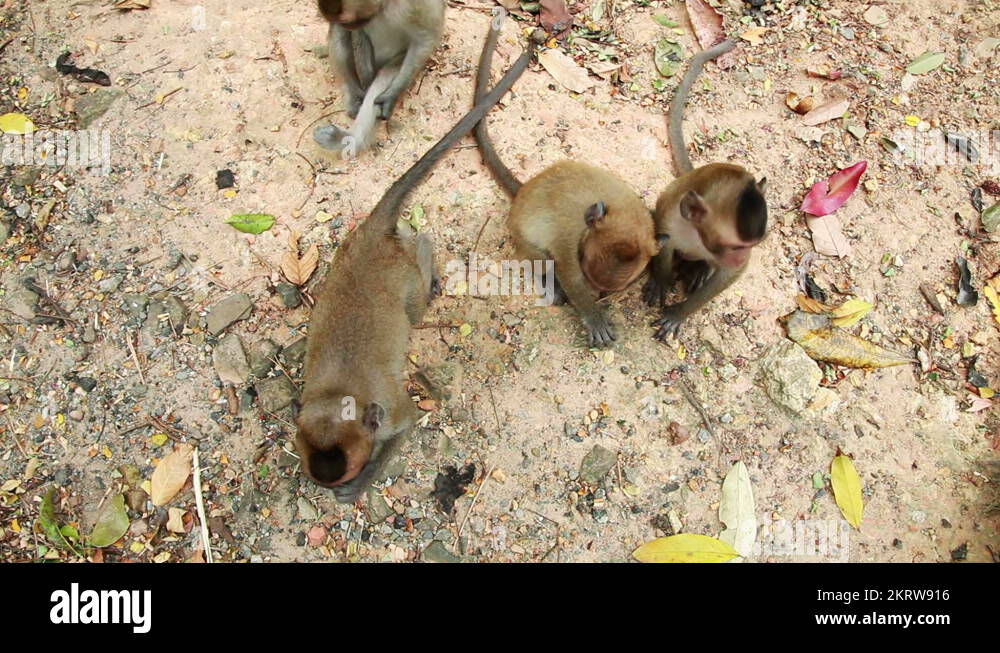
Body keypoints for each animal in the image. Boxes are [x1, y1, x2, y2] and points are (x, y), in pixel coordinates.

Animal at [296, 23, 536, 503]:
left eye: (347, 472)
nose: (337, 483)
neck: (336, 395)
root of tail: (370, 235)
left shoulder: (388, 409)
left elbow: (408, 423)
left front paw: (361, 485)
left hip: (400, 276)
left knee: (414, 304)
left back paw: (425, 251)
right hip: (347, 251)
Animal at [313, 0, 445, 158]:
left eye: (346, 20)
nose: (347, 26)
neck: (384, 7)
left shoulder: (419, 4)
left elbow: (426, 37)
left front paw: (392, 94)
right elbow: (357, 34)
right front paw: (365, 77)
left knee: (384, 76)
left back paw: (352, 140)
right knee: (338, 31)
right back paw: (352, 93)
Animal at [472, 22, 669, 348]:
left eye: (613, 289)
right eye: (586, 270)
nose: (599, 295)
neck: (620, 212)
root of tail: (525, 189)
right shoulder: (568, 240)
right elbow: (568, 274)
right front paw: (592, 314)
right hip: (521, 234)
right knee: (537, 256)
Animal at [642, 39, 768, 341]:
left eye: (750, 246)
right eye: (735, 245)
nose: (741, 256)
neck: (698, 235)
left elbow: (730, 275)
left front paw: (679, 313)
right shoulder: (672, 218)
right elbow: (664, 244)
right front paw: (660, 280)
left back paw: (700, 268)